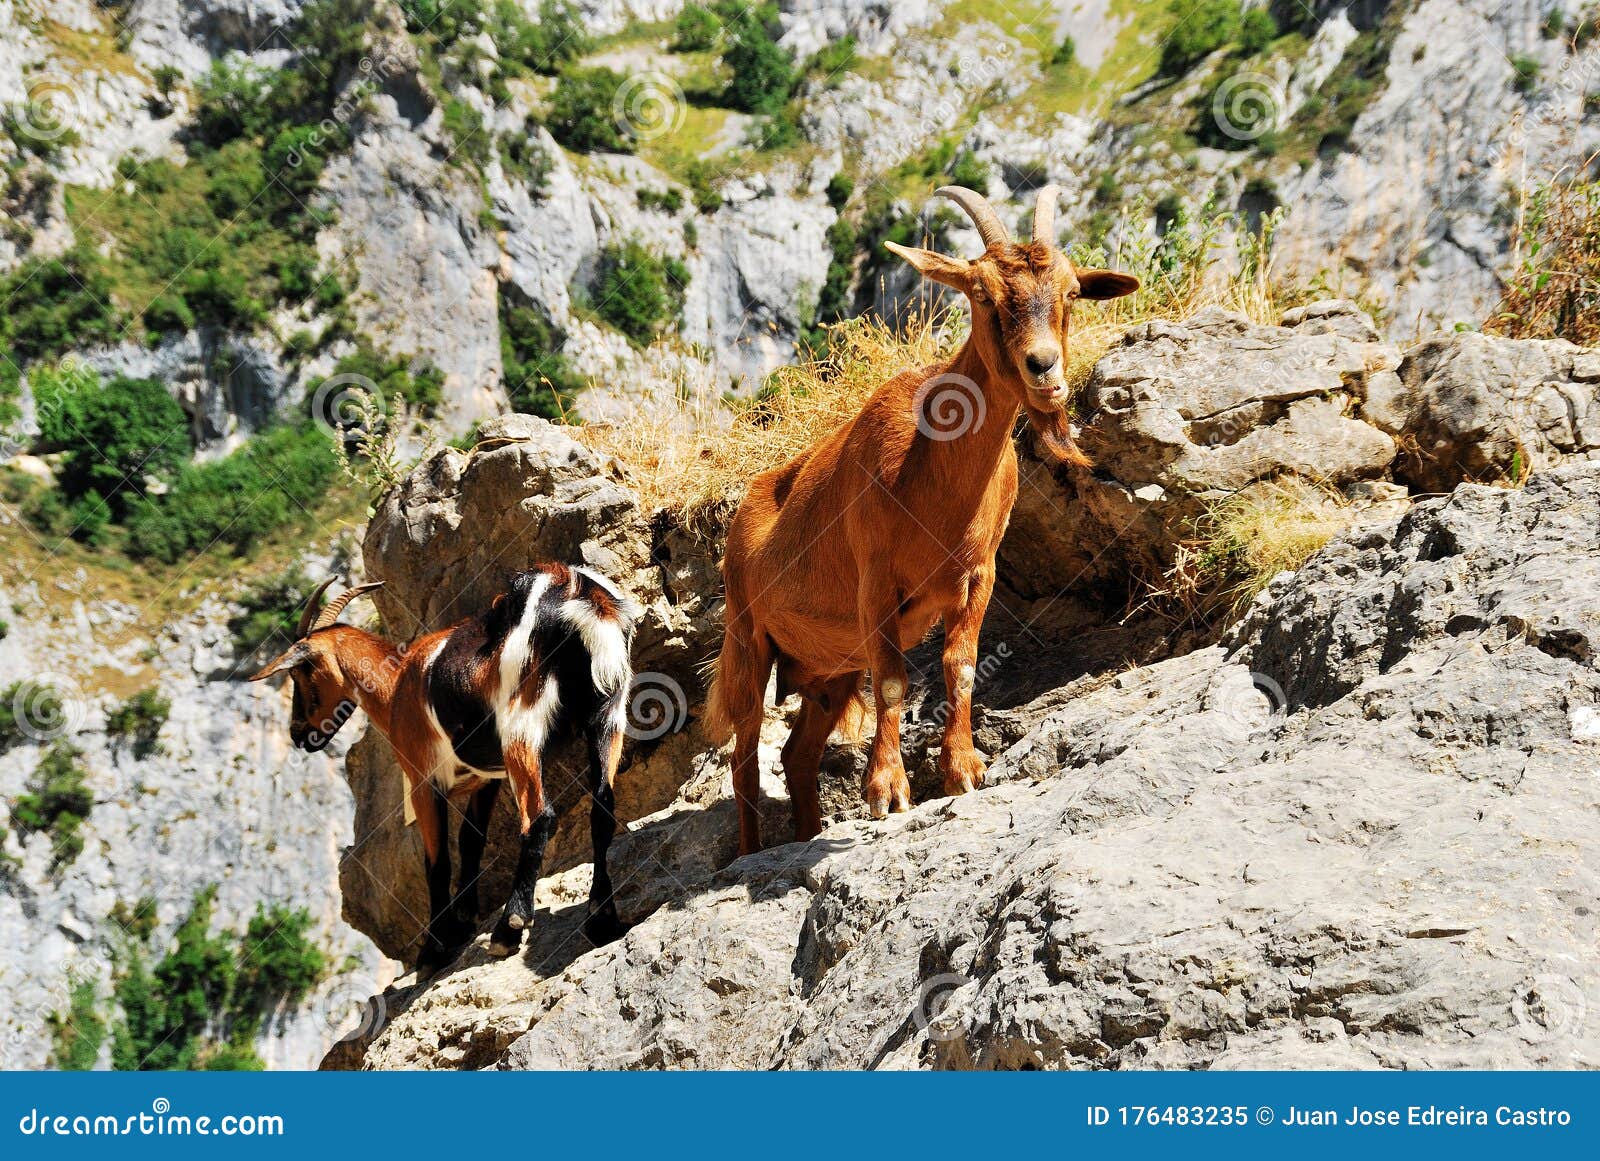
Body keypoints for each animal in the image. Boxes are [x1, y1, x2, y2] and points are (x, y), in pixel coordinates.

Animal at [249, 564, 640, 968]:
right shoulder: (488, 777)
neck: (397, 684)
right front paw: (464, 922)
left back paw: (509, 928)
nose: (298, 734)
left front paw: (433, 950)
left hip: (522, 726)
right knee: (602, 808)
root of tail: (575, 594)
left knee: (539, 816)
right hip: (607, 716)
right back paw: (601, 920)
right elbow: (470, 841)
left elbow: (436, 862)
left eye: (300, 673)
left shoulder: (422, 779)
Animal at [707, 184, 1138, 855]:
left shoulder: (979, 576)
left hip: (830, 667)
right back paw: (752, 852)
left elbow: (959, 668)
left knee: (797, 755)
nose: (1045, 370)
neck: (932, 475)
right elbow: (893, 681)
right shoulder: (875, 582)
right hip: (748, 635)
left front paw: (963, 769)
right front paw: (887, 789)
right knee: (744, 754)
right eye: (983, 293)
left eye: (1071, 292)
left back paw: (806, 833)